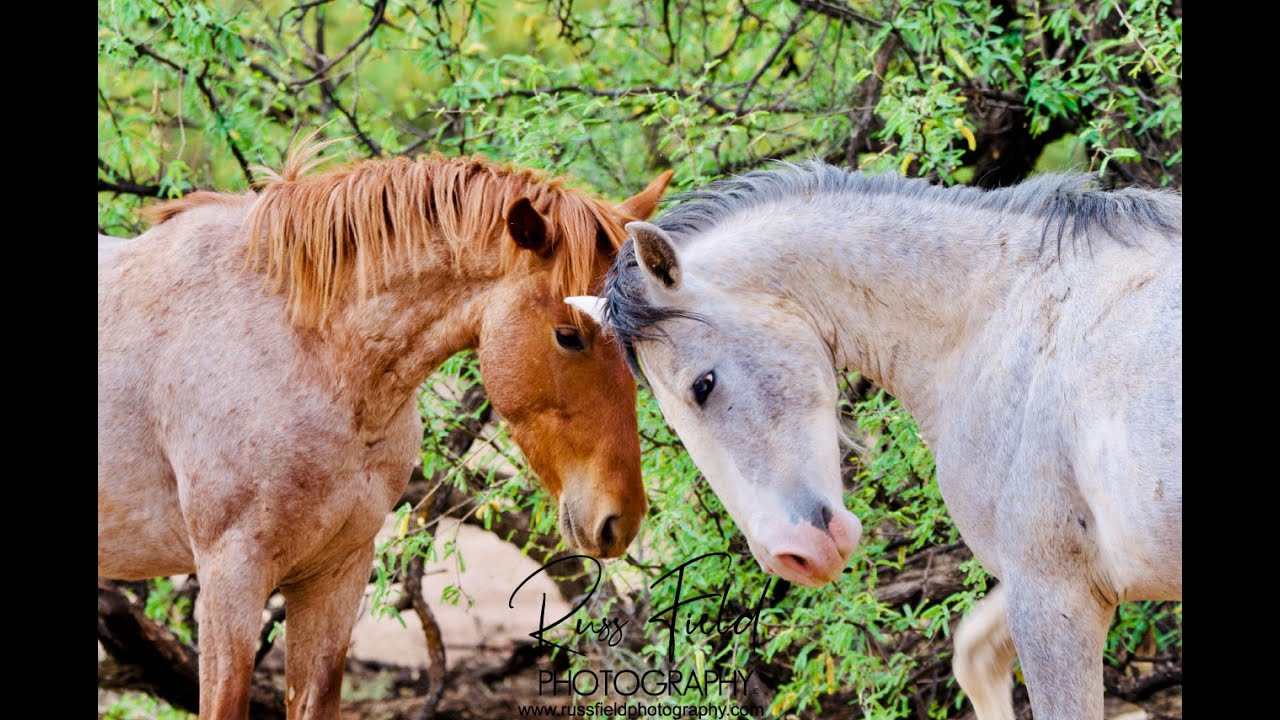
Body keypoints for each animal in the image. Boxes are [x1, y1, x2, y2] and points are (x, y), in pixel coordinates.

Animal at [570, 162, 1181, 719]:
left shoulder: (1053, 594)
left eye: (704, 384)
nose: (794, 556)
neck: (1003, 319)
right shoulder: (1045, 586)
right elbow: (972, 655)